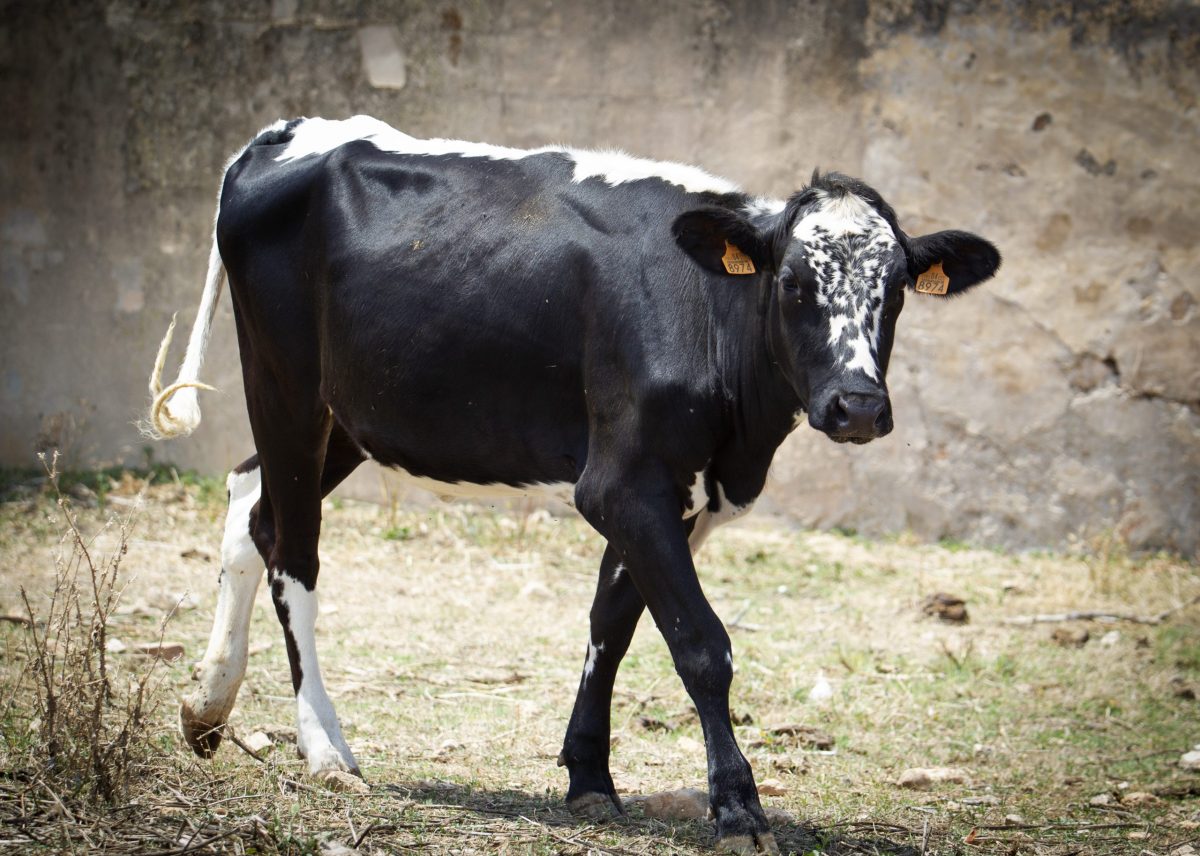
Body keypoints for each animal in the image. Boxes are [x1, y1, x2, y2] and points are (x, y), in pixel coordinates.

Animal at [146, 115, 999, 854]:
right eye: (792, 283)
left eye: (896, 288)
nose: (858, 406)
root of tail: (289, 131)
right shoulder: (624, 484)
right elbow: (700, 645)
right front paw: (737, 808)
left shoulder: (671, 493)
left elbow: (611, 627)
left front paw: (589, 774)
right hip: (284, 384)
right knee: (294, 551)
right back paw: (325, 746)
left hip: (350, 414)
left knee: (251, 505)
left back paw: (207, 706)